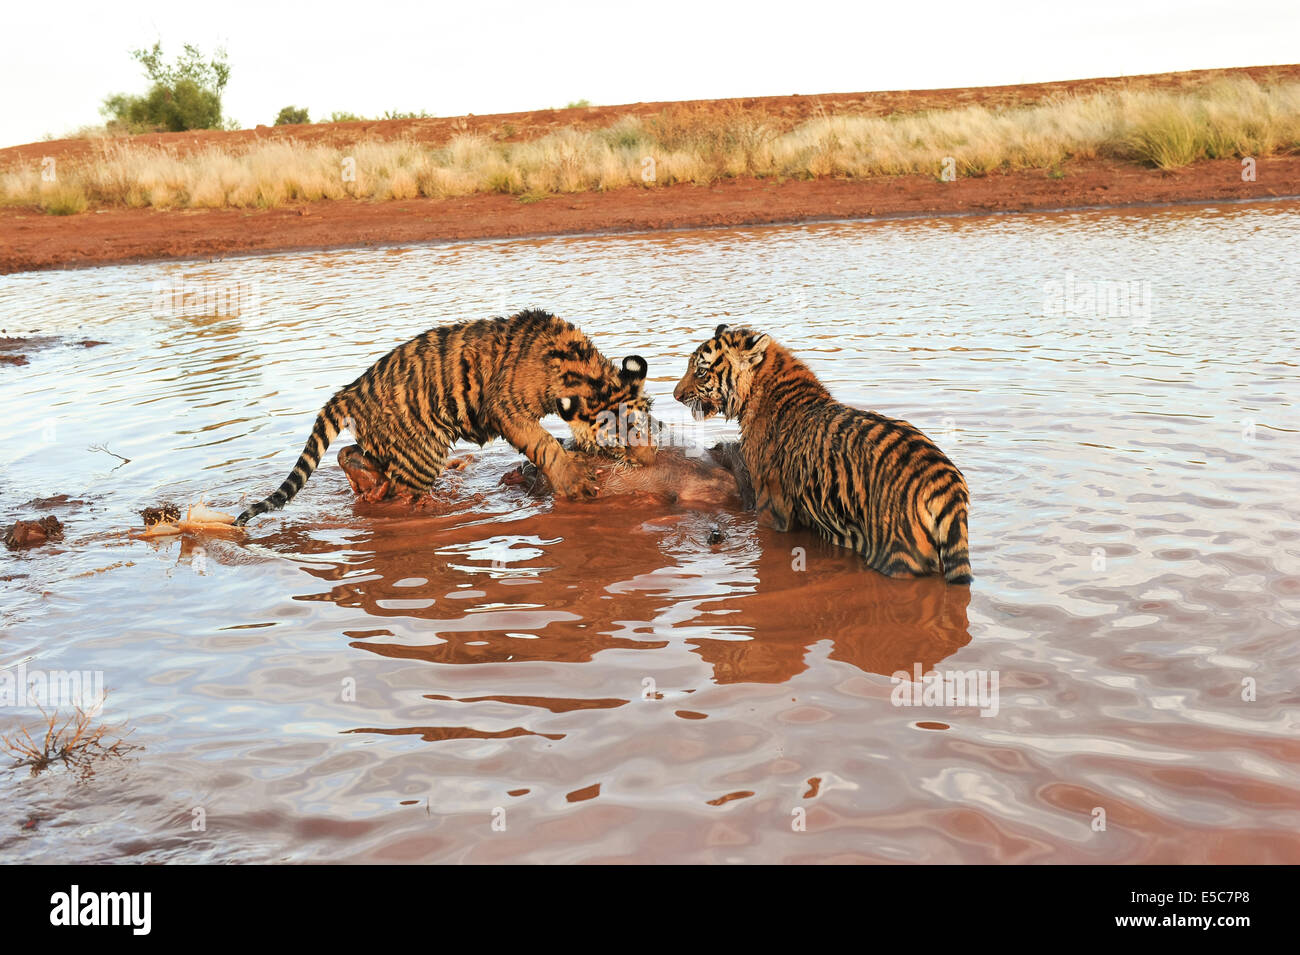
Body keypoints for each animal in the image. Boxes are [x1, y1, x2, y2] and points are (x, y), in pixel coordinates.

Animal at [234, 309, 656, 525]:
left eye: (646, 426)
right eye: (622, 439)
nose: (653, 460)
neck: (581, 369)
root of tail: (349, 390)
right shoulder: (508, 409)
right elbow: (545, 444)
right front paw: (577, 482)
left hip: (387, 444)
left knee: (351, 457)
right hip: (422, 451)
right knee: (399, 493)